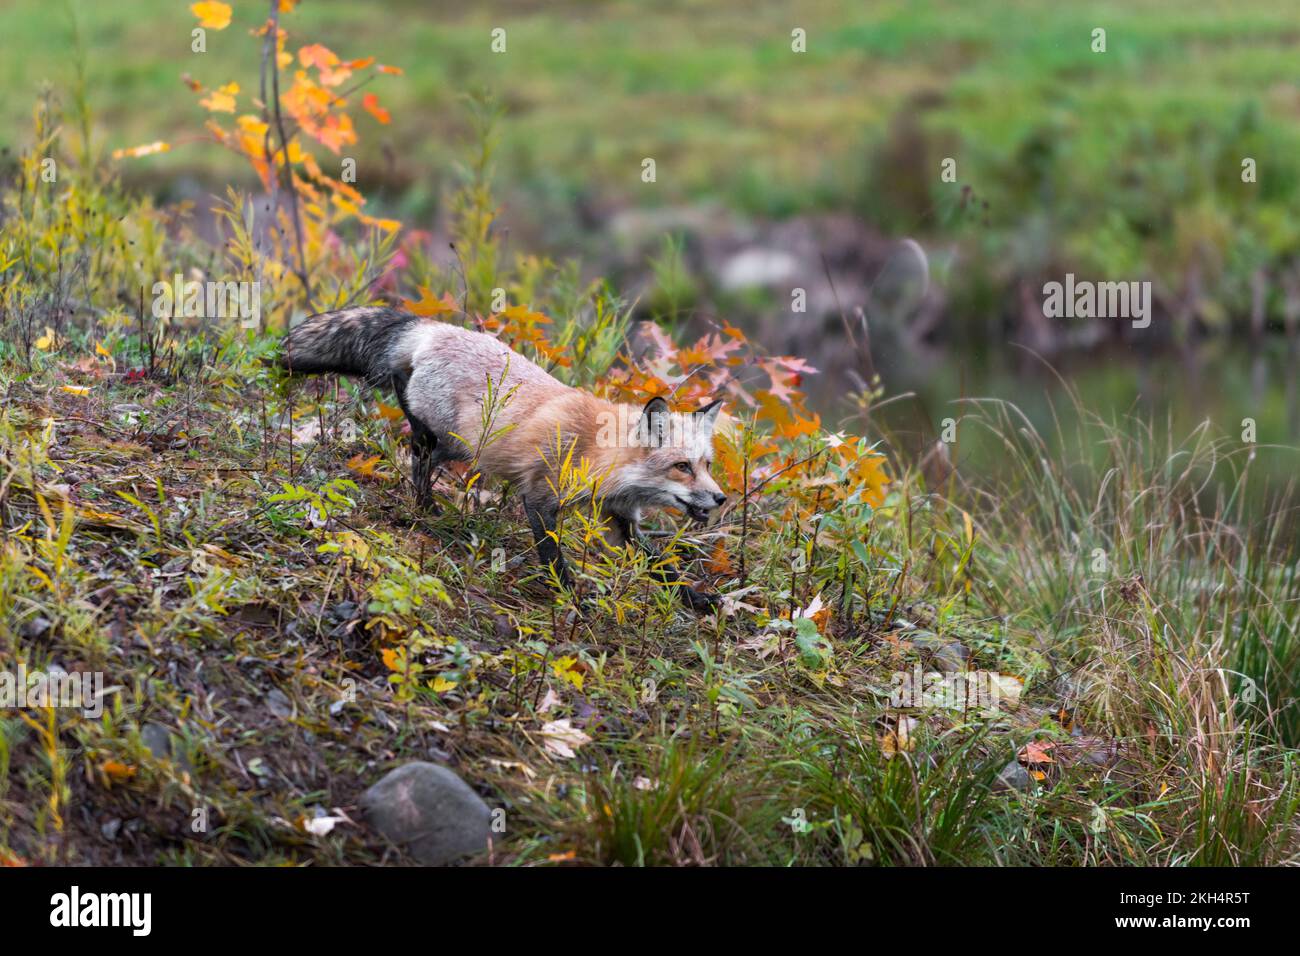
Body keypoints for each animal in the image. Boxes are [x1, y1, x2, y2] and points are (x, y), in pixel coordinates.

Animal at [279, 306, 727, 610]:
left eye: (706, 465)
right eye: (681, 467)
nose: (721, 498)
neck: (595, 453)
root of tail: (436, 328)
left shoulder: (619, 518)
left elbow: (662, 568)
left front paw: (696, 598)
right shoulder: (541, 497)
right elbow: (553, 557)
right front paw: (568, 595)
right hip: (459, 442)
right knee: (418, 446)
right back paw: (424, 503)